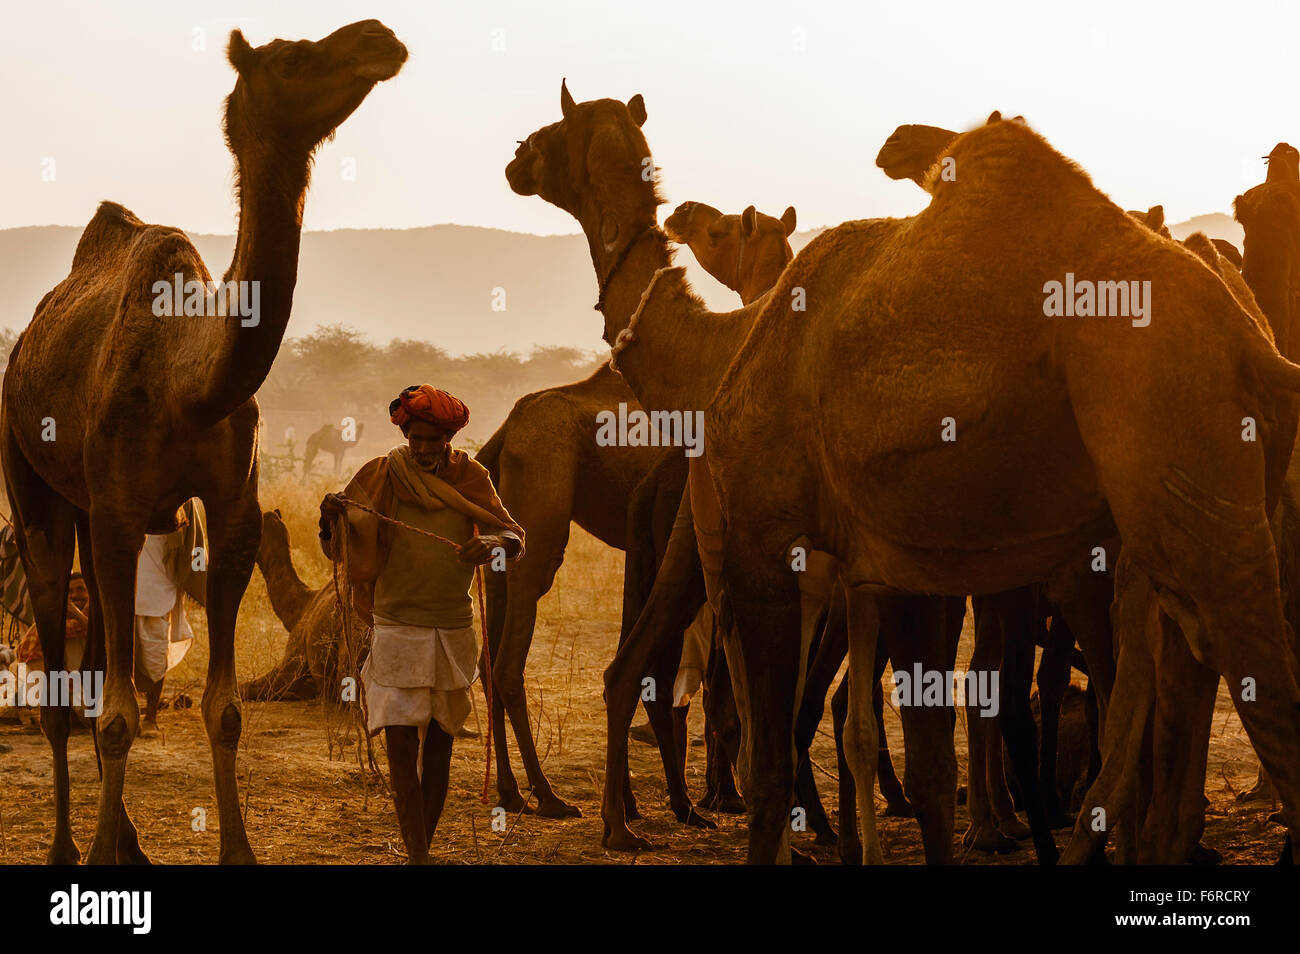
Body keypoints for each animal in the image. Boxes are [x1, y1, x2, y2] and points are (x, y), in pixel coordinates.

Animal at [0, 20, 406, 865]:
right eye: (294, 56)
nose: (379, 36)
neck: (188, 381)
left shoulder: (231, 507)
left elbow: (221, 707)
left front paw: (236, 852)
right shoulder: (122, 508)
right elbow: (117, 713)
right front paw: (94, 858)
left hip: (88, 509)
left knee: (95, 667)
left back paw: (127, 841)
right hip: (34, 486)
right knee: (59, 674)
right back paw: (68, 849)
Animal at [509, 87, 1300, 864]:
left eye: (556, 127)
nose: (516, 157)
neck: (721, 354)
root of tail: (1249, 340)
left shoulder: (768, 543)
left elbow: (773, 769)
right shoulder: (909, 566)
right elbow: (929, 765)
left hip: (1182, 498)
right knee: (1178, 684)